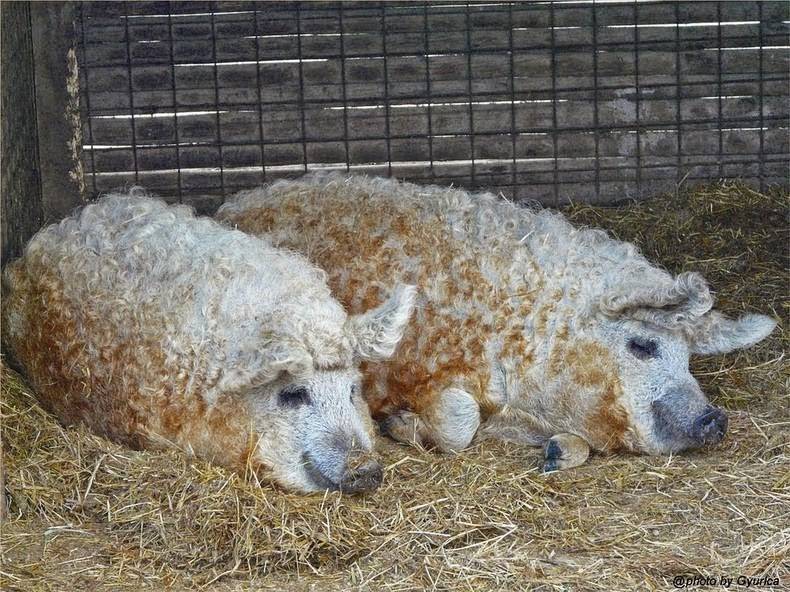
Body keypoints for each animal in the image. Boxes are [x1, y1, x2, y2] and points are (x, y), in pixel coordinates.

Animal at [216, 173, 776, 472]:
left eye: (690, 358)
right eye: (642, 345)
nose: (715, 417)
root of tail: (232, 203)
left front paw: (554, 453)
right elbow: (460, 421)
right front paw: (402, 426)